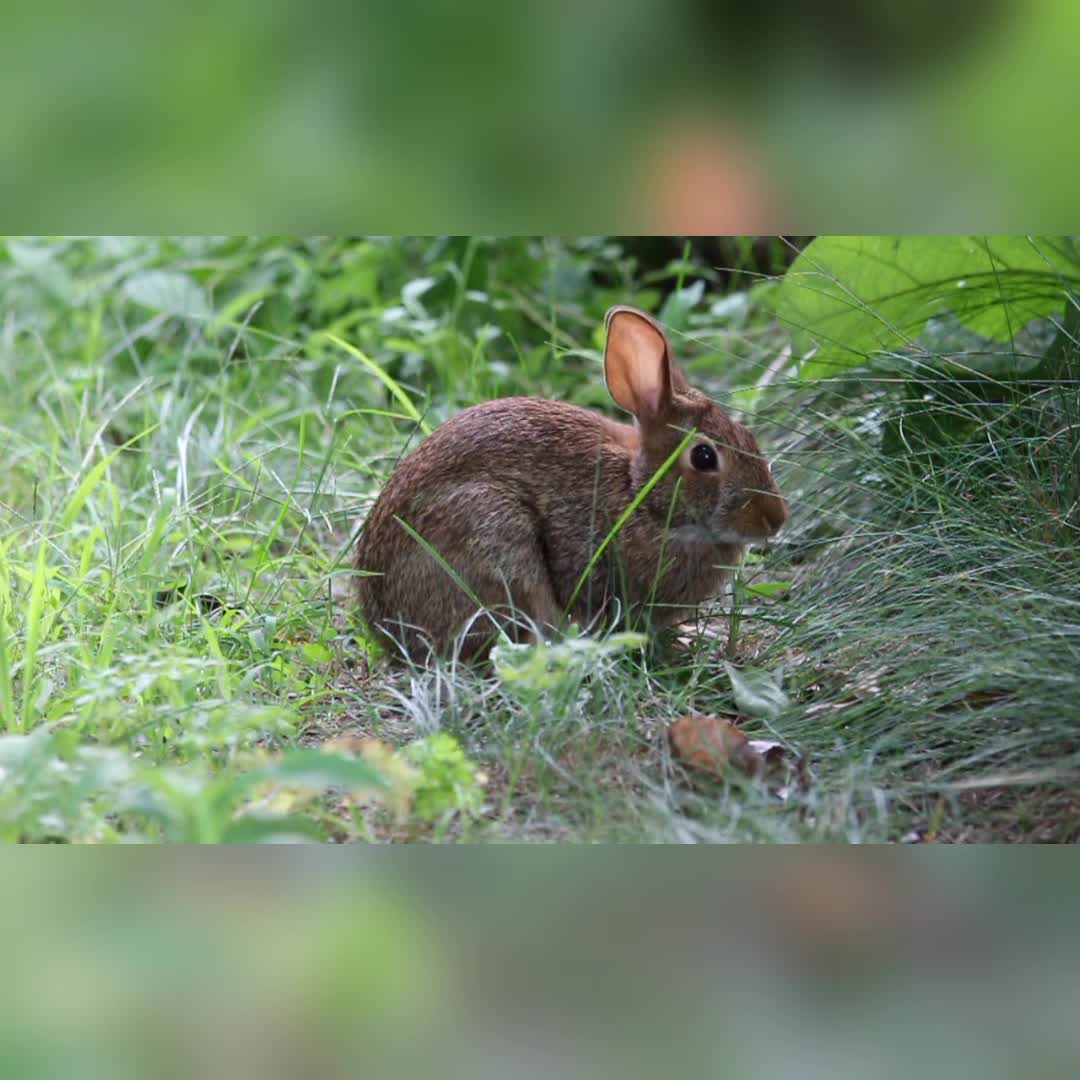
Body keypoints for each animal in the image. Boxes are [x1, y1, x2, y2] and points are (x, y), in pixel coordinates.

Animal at [354, 305, 787, 661]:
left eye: (749, 437)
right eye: (704, 457)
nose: (776, 519)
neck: (643, 498)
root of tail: (385, 628)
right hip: (495, 535)